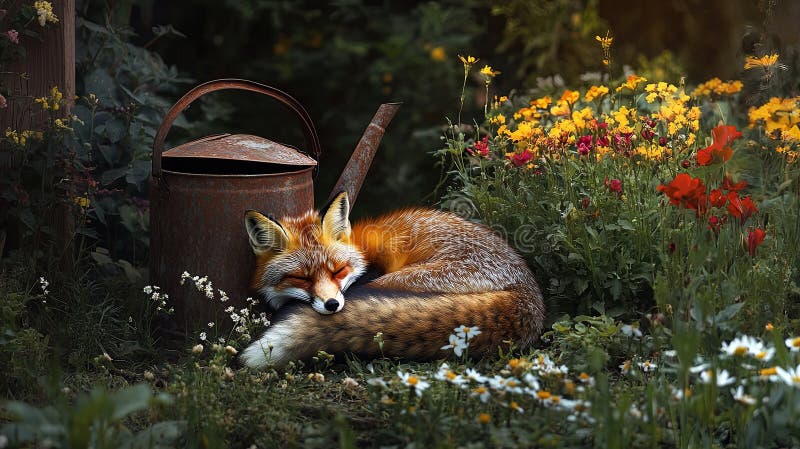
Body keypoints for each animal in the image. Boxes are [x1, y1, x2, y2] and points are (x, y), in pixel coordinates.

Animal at [239, 191, 545, 369]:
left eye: (338, 270)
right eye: (302, 277)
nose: (331, 305)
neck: (361, 249)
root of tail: (528, 294)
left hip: (401, 279)